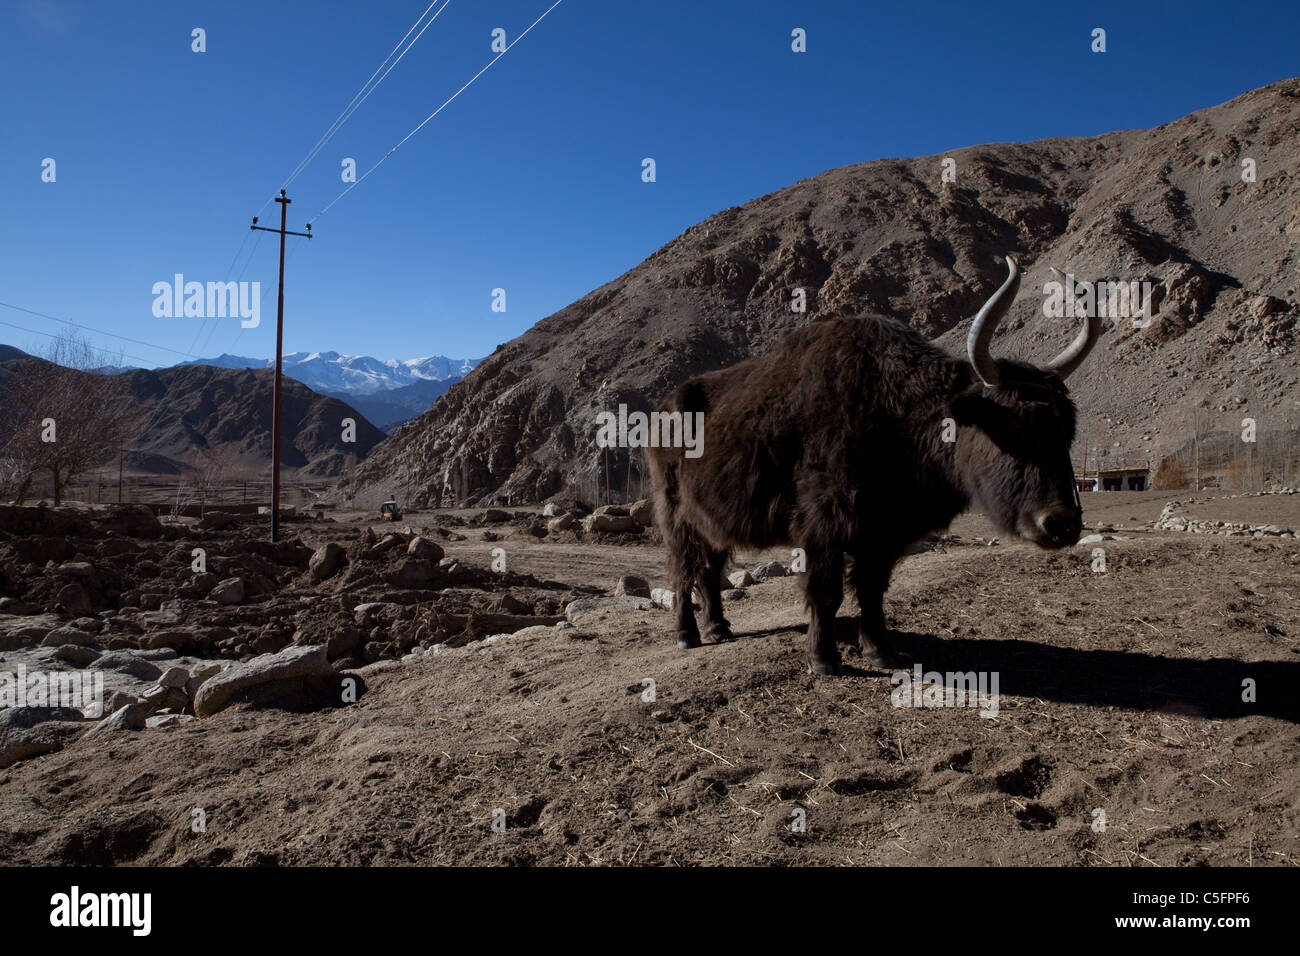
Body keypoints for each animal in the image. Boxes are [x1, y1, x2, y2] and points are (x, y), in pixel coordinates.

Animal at [647, 256, 1101, 675]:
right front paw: (824, 659)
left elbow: (872, 589)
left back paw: (719, 627)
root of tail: (663, 408)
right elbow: (827, 590)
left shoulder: (884, 532)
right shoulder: (825, 525)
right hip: (675, 516)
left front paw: (882, 651)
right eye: (1013, 422)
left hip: (710, 522)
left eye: (1066, 430)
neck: (899, 410)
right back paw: (688, 635)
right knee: (682, 572)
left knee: (708, 570)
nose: (1061, 524)